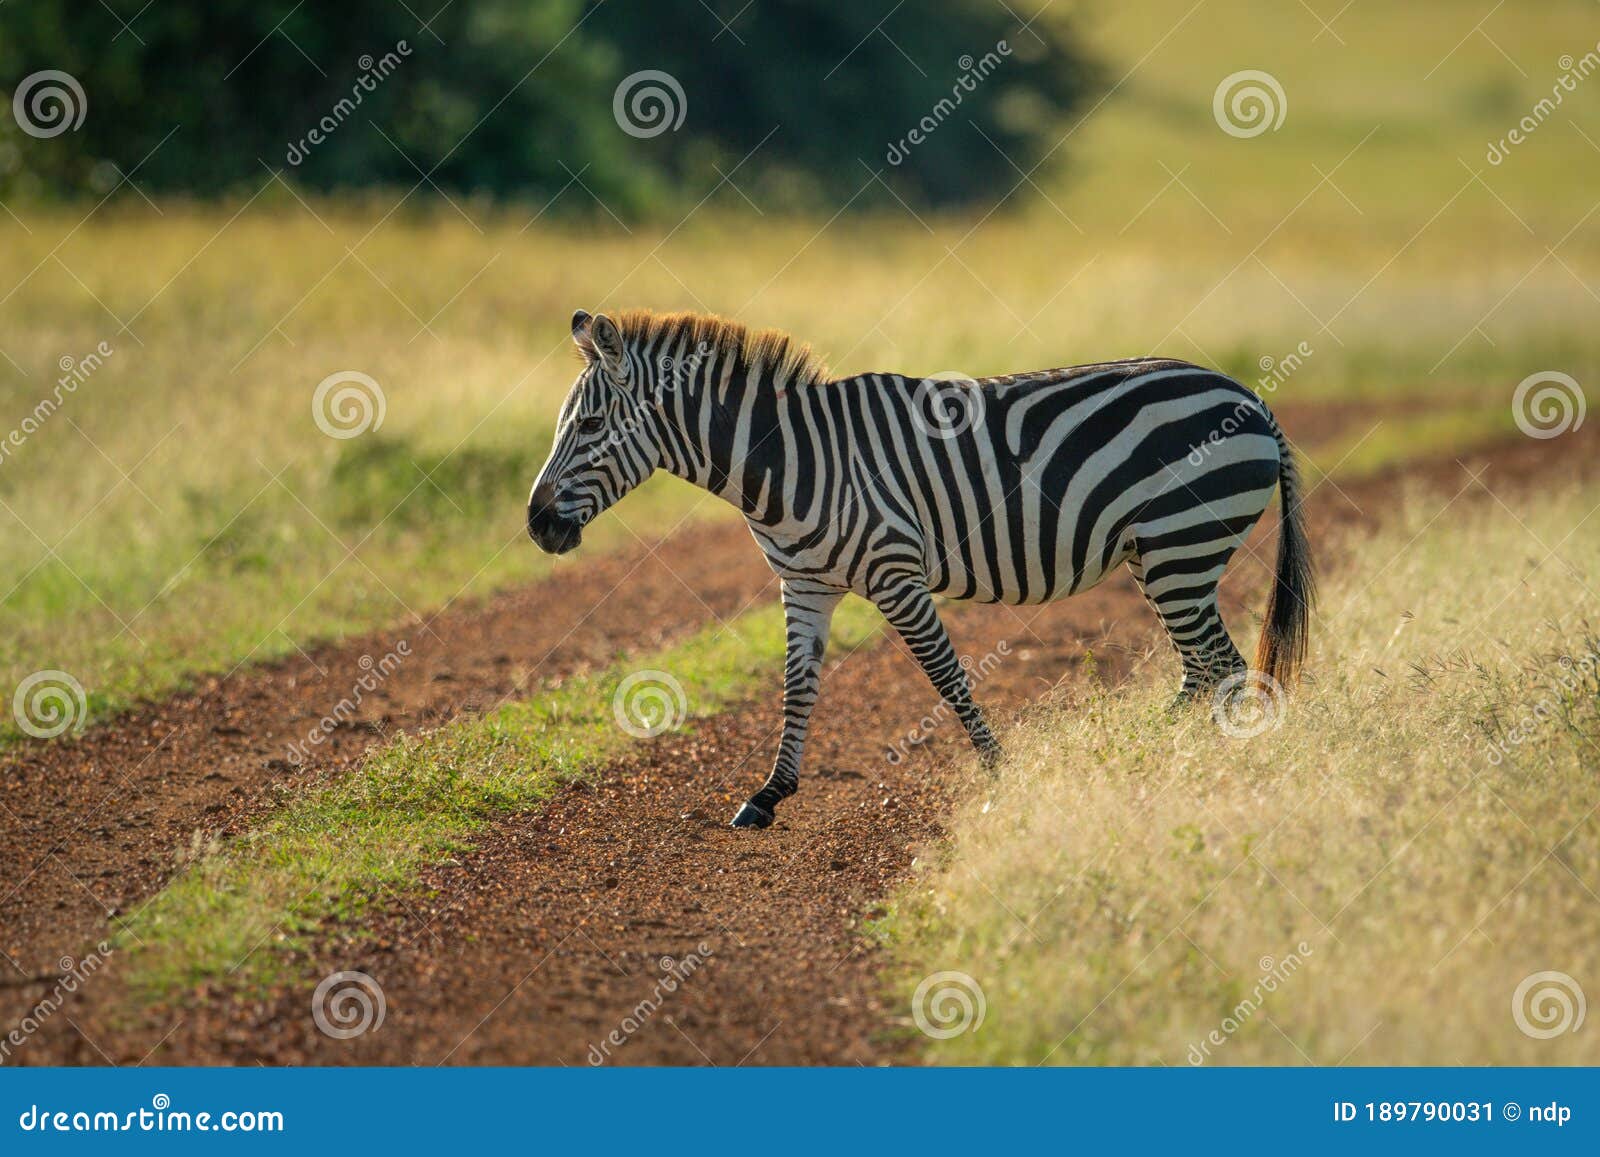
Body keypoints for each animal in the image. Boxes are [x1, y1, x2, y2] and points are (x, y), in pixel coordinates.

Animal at [528, 309, 1314, 829]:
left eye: (589, 426)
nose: (536, 526)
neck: (791, 462)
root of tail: (1247, 395)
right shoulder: (805, 585)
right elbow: (797, 689)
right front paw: (768, 794)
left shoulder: (894, 572)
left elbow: (947, 676)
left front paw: (1002, 770)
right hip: (1163, 556)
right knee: (1204, 668)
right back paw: (1141, 752)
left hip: (1181, 547)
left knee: (1223, 666)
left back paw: (1197, 767)